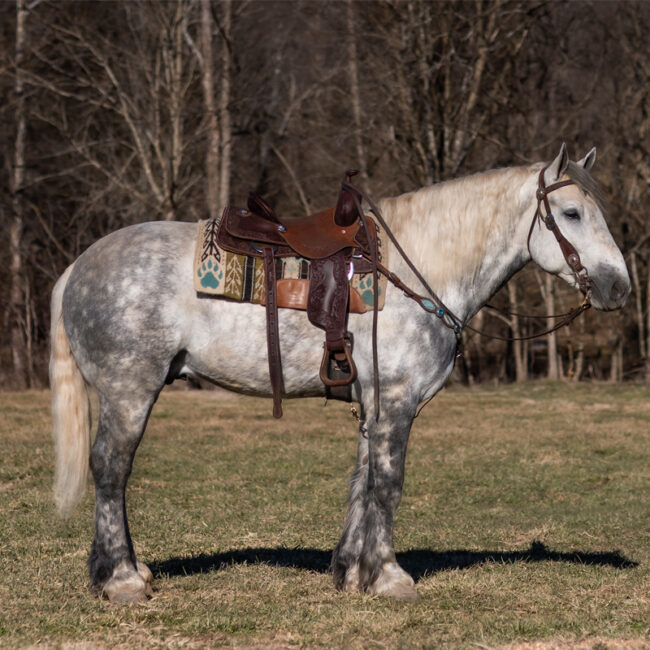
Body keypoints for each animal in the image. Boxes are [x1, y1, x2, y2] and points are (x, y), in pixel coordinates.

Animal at [50, 145, 630, 603]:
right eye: (572, 213)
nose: (619, 287)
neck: (416, 269)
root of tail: (77, 268)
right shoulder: (396, 401)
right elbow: (389, 483)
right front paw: (390, 577)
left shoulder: (373, 404)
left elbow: (363, 480)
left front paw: (353, 572)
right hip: (130, 391)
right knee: (110, 470)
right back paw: (121, 579)